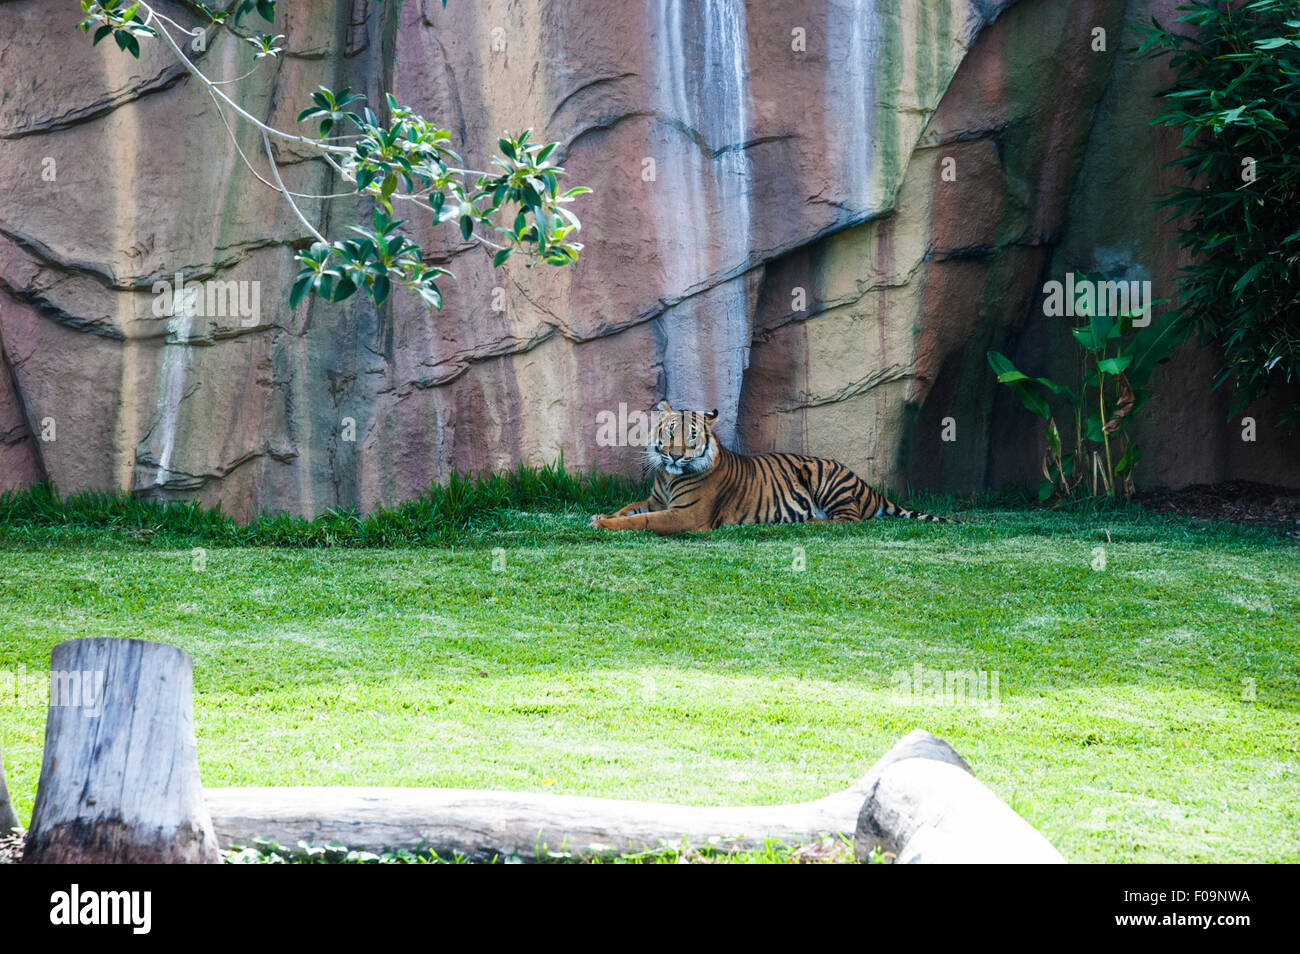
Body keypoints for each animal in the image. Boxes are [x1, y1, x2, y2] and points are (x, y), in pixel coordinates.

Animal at [589, 400, 949, 534]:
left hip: (824, 477)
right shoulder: (656, 500)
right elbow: (628, 509)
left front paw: (603, 524)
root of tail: (867, 486)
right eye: (670, 432)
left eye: (691, 436)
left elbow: (641, 521)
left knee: (849, 520)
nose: (675, 456)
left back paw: (808, 522)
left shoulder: (686, 515)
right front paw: (600, 516)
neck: (669, 476)